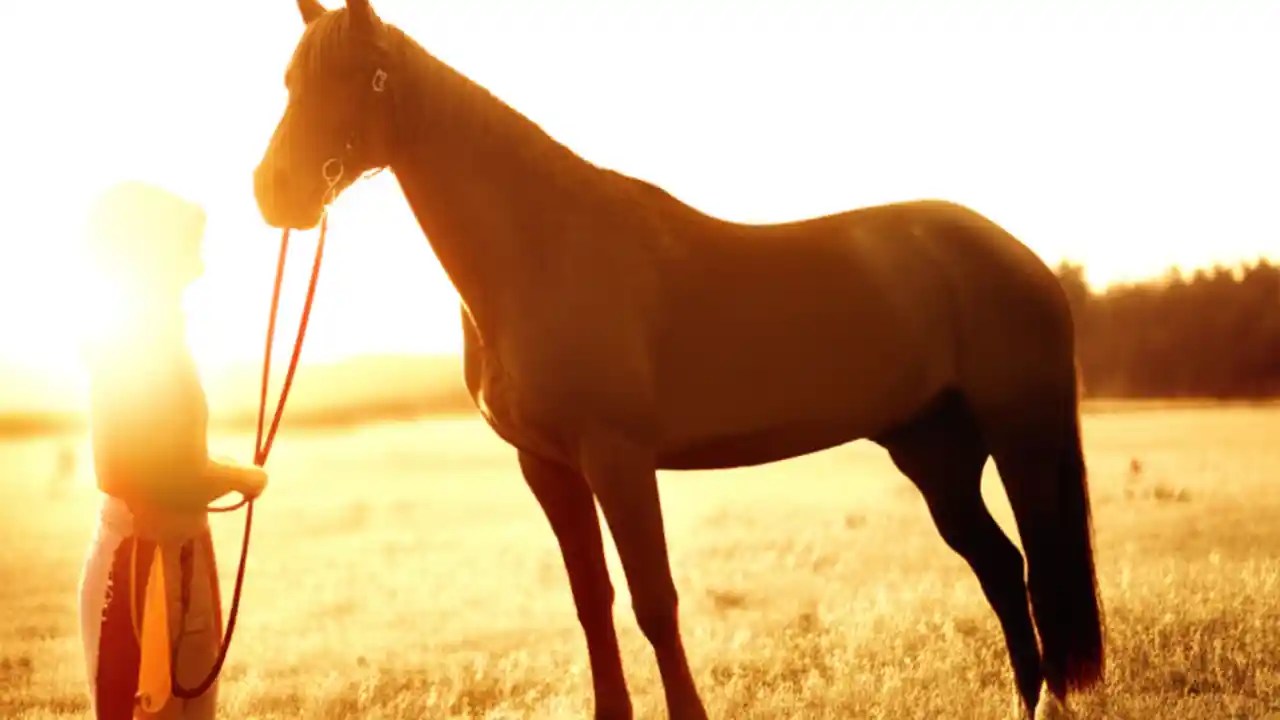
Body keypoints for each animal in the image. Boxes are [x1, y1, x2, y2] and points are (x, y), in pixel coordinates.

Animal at [253, 2, 1105, 717]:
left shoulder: (618, 459)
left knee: (1037, 565)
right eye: (290, 81)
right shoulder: (547, 466)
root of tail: (1017, 255)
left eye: (358, 77)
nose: (274, 191)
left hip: (1020, 439)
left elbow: (653, 601)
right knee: (1002, 568)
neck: (543, 249)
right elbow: (591, 601)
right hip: (935, 453)